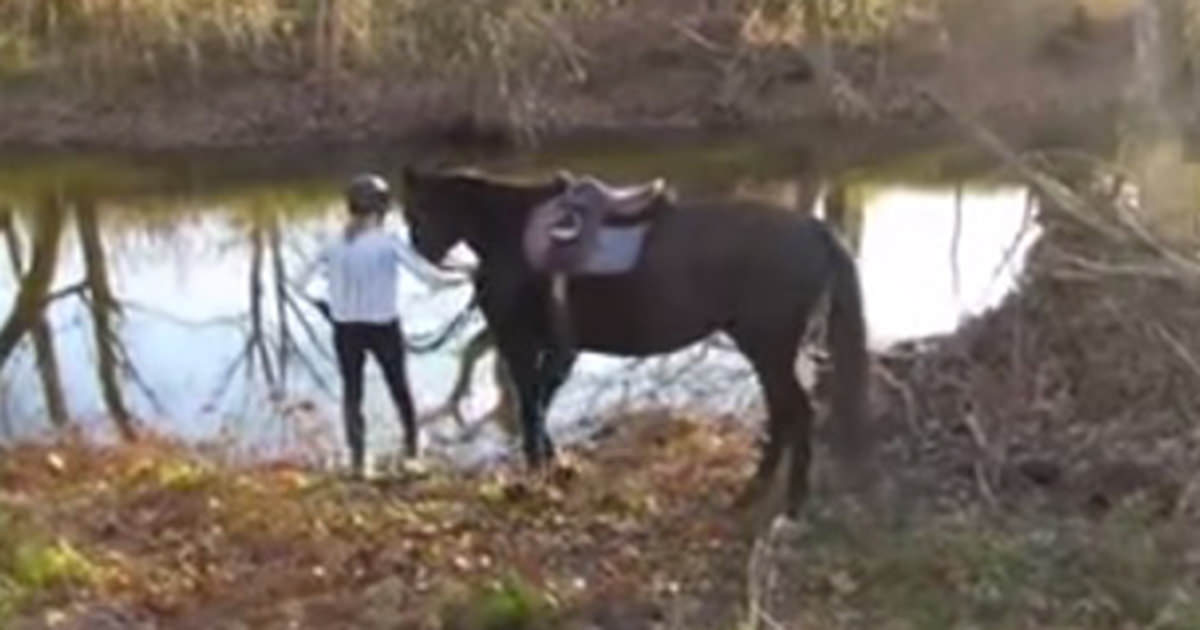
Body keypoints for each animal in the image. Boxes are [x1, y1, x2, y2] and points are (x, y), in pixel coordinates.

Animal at [399, 166, 871, 517]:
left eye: (416, 209)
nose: (424, 252)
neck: (511, 234)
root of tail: (815, 230)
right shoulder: (547, 348)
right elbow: (540, 402)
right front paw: (554, 465)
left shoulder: (518, 342)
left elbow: (531, 405)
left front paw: (535, 472)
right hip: (769, 348)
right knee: (783, 413)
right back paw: (757, 495)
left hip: (768, 346)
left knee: (795, 413)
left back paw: (784, 501)